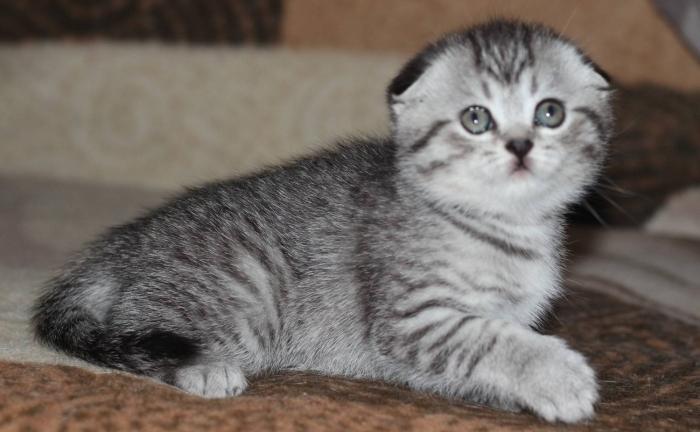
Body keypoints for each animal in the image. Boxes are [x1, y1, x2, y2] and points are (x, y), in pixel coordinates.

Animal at [32, 19, 612, 422]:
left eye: (550, 112)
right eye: (476, 118)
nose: (520, 146)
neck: (505, 226)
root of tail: (125, 242)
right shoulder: (411, 316)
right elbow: (488, 339)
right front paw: (557, 378)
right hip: (238, 295)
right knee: (132, 336)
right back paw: (203, 368)